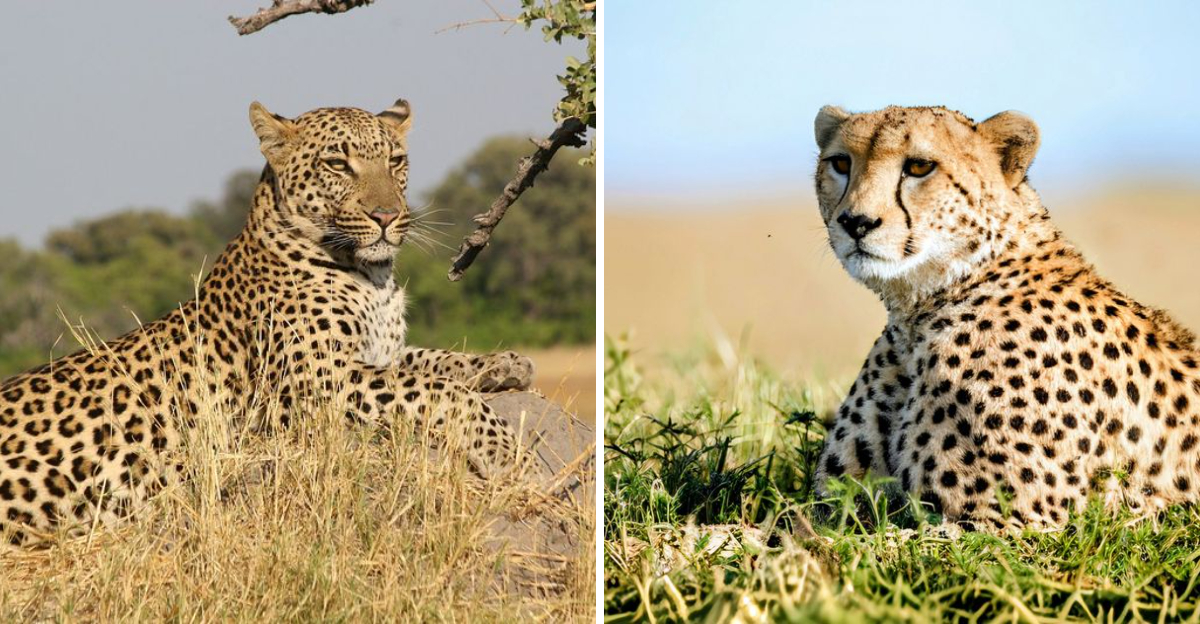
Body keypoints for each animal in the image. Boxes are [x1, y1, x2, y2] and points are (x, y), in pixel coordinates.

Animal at [0, 98, 536, 545]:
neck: (372, 276)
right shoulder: (311, 383)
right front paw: (505, 452)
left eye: (396, 162)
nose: (387, 216)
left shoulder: (377, 353)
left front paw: (506, 363)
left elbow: (437, 360)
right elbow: (435, 388)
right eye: (337, 164)